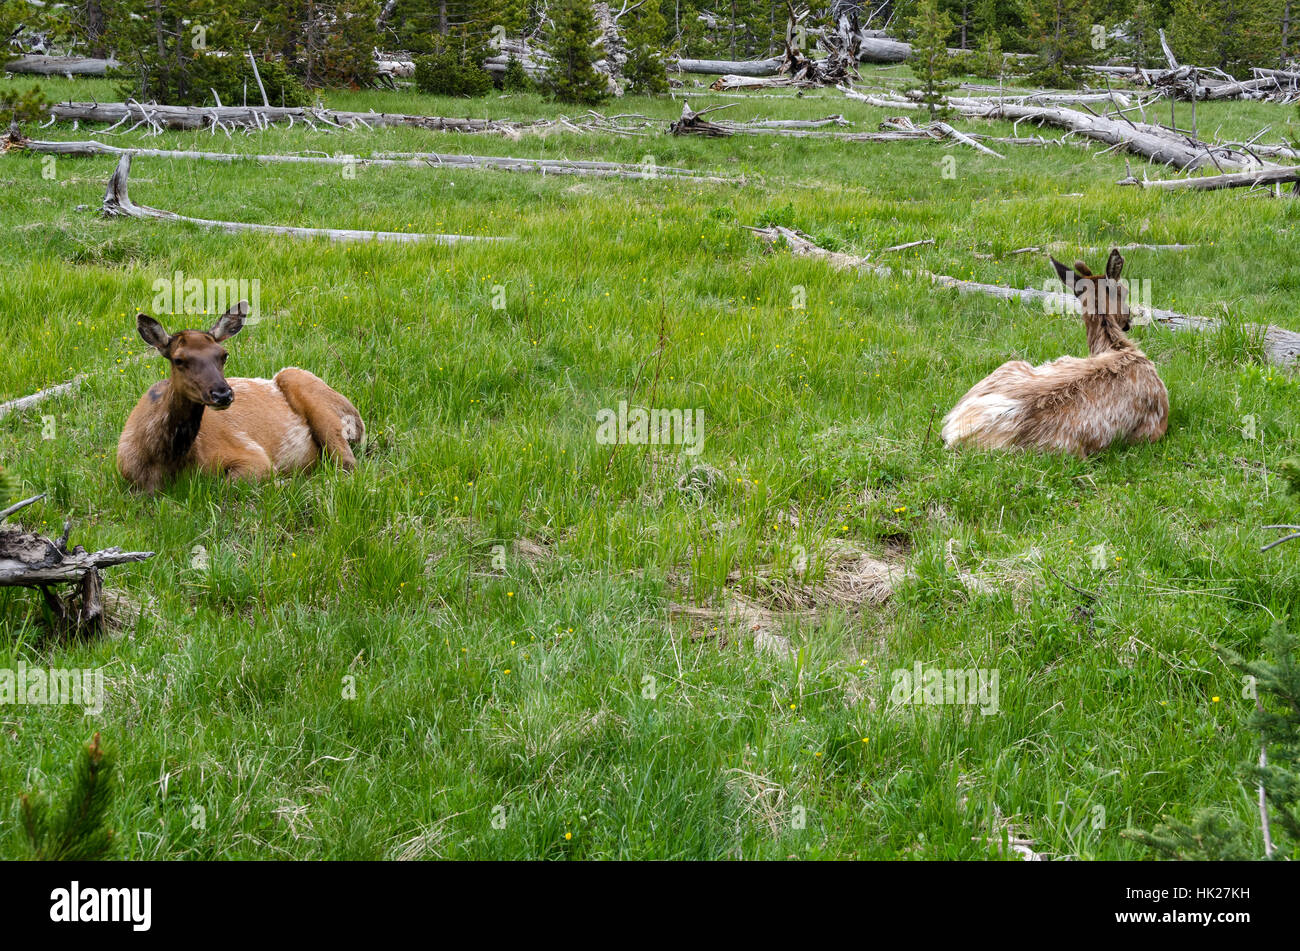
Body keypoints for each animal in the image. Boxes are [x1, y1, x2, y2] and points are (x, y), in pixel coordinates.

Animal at [117, 301, 365, 492]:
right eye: (178, 359)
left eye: (223, 355)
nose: (222, 393)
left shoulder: (252, 455)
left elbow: (224, 486)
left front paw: (281, 482)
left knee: (347, 464)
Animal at [940, 249, 1168, 458]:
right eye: (1125, 291)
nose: (1128, 321)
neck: (1117, 348)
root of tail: (957, 434)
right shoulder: (1155, 423)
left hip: (1006, 368)